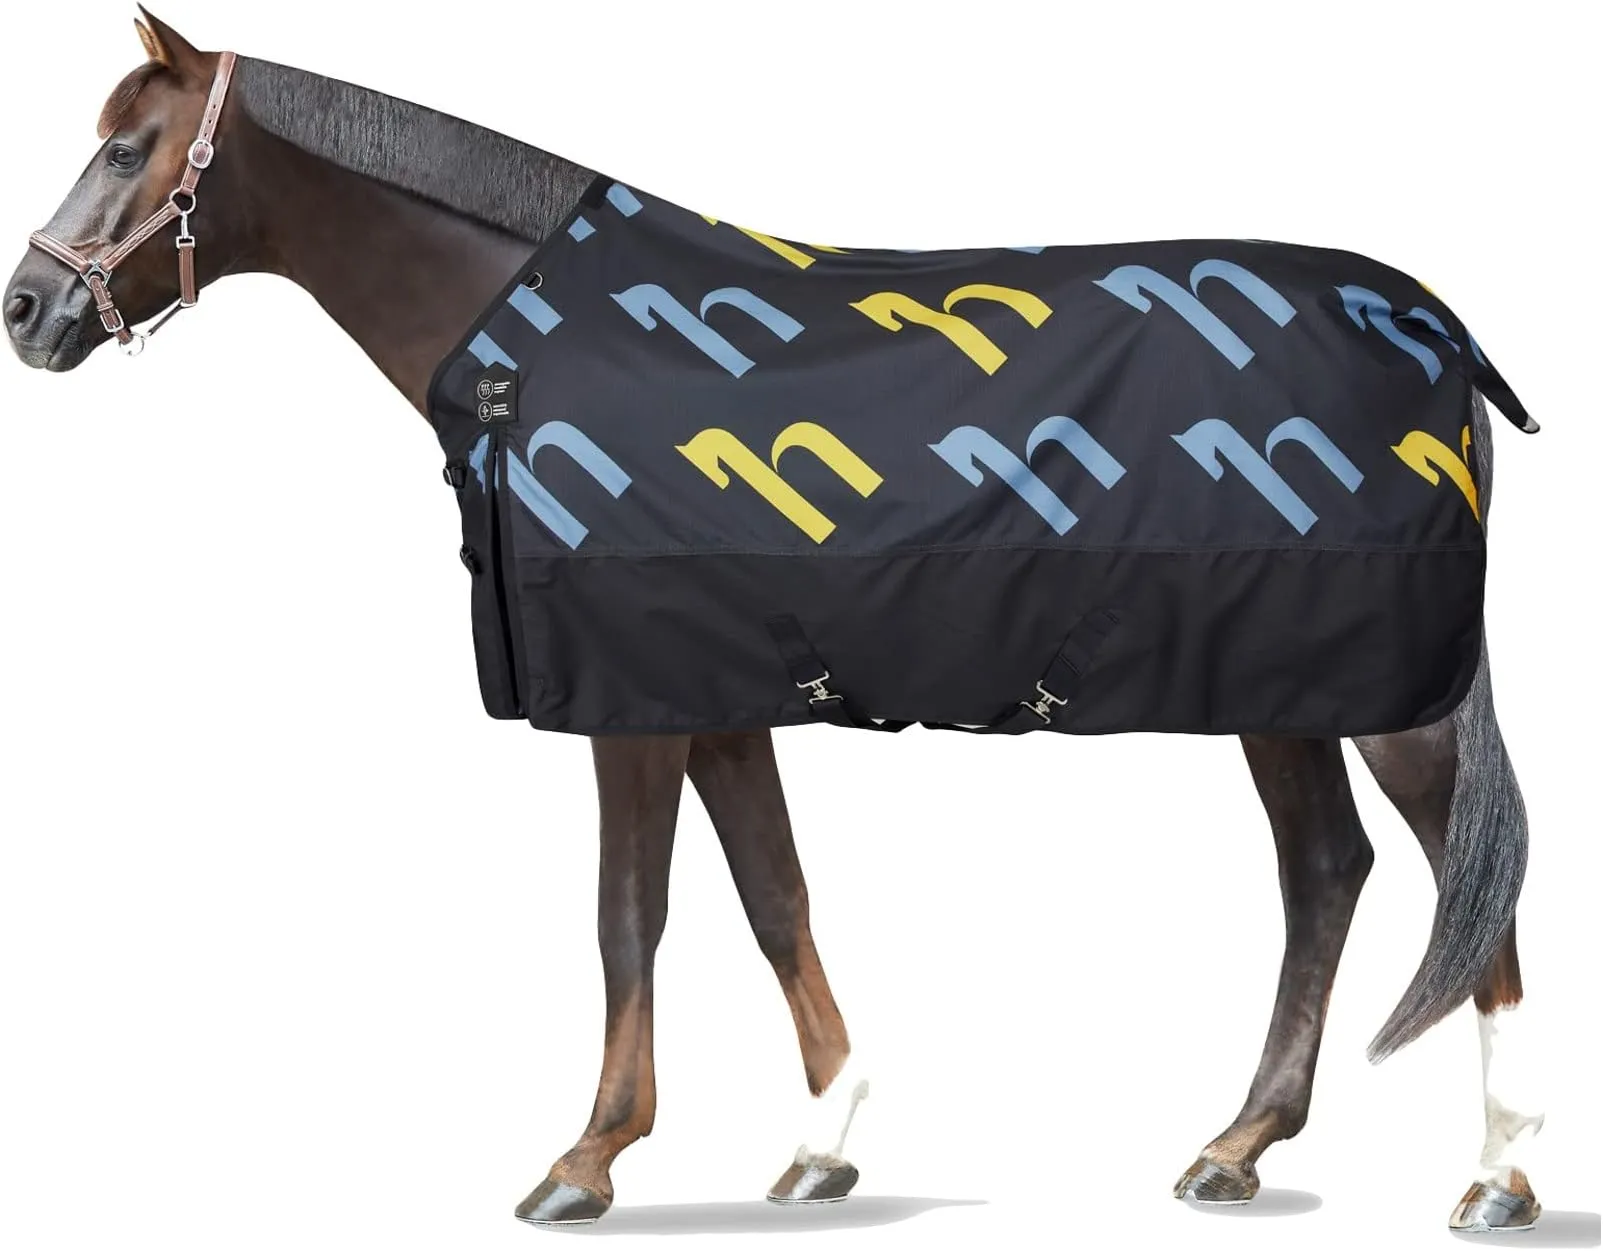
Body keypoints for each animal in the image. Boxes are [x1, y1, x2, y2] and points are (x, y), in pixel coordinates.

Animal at [3, 8, 1548, 1234]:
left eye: (130, 148)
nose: (25, 310)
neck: (536, 346)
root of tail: (1428, 324)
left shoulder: (630, 704)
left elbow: (629, 914)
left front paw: (585, 1156)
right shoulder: (721, 691)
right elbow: (772, 894)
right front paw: (822, 1141)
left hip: (1386, 699)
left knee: (1463, 883)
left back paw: (1498, 1176)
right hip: (1277, 685)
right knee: (1326, 872)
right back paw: (1234, 1145)